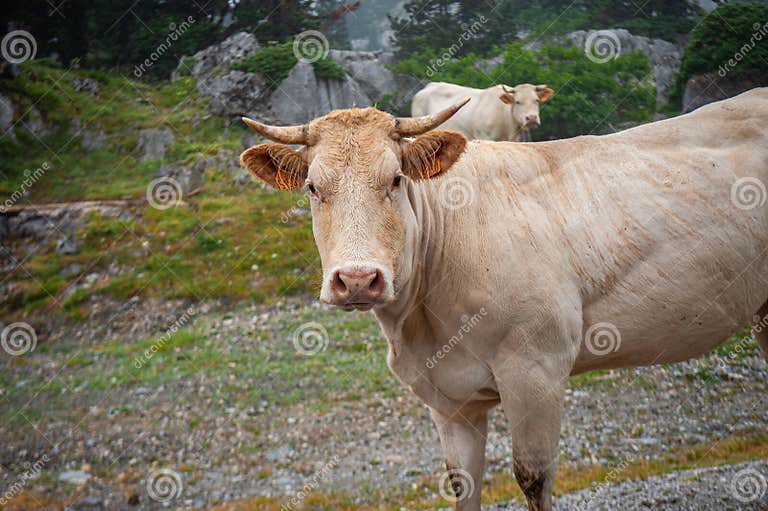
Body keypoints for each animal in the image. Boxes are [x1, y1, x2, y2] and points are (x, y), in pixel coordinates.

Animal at [239, 88, 768, 511]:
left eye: (395, 180)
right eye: (312, 186)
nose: (356, 280)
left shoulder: (535, 369)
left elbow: (533, 477)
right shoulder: (449, 399)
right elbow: (461, 485)